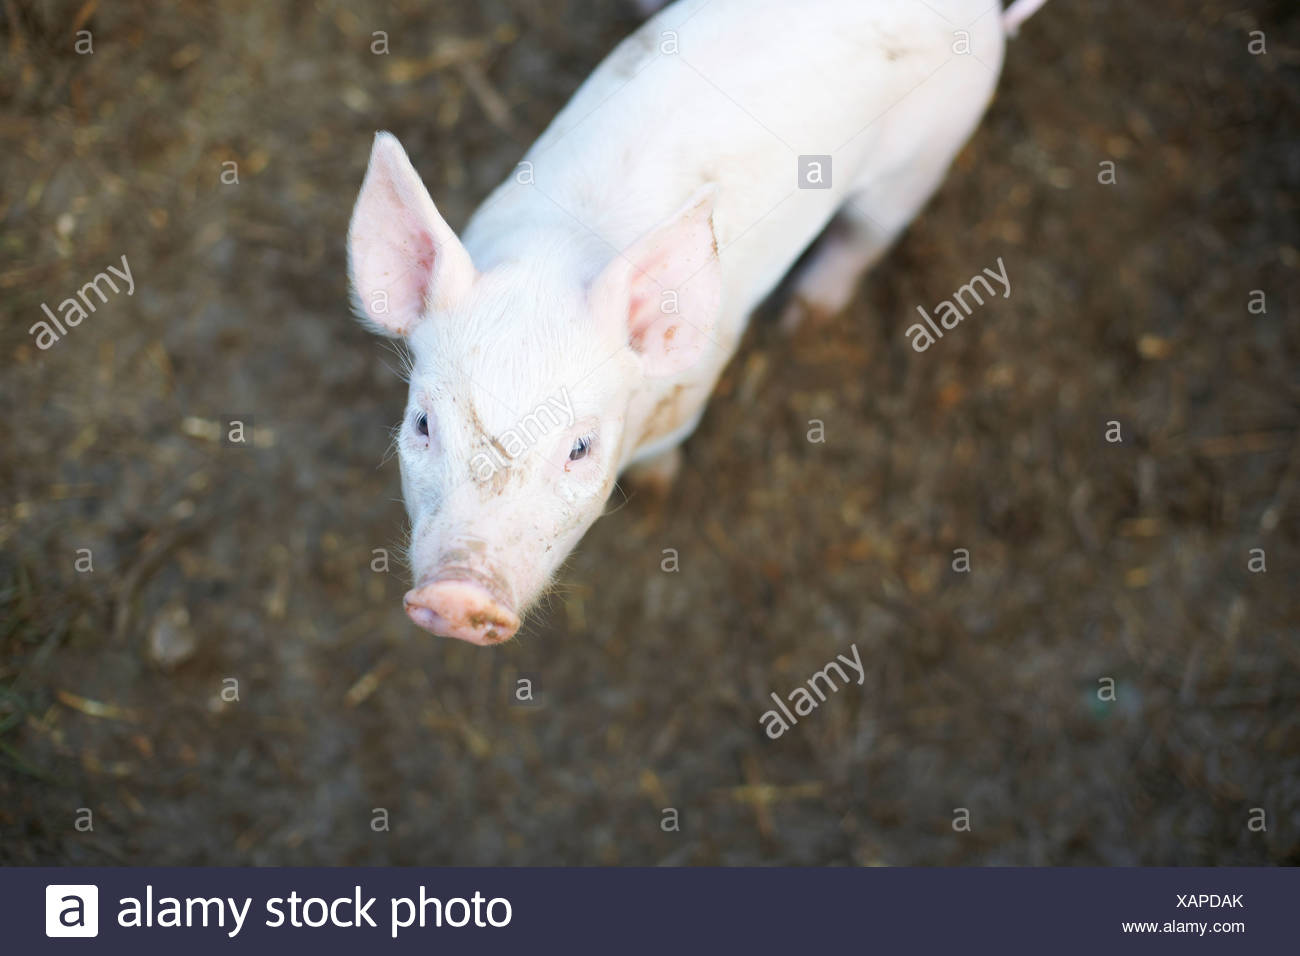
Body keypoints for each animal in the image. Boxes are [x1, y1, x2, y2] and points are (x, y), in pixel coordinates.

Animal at [347, 0, 1051, 644]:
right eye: (422, 424)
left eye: (581, 447)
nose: (458, 596)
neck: (553, 258)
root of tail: (986, 14)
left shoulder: (692, 391)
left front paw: (657, 491)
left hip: (923, 159)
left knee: (864, 238)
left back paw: (803, 318)